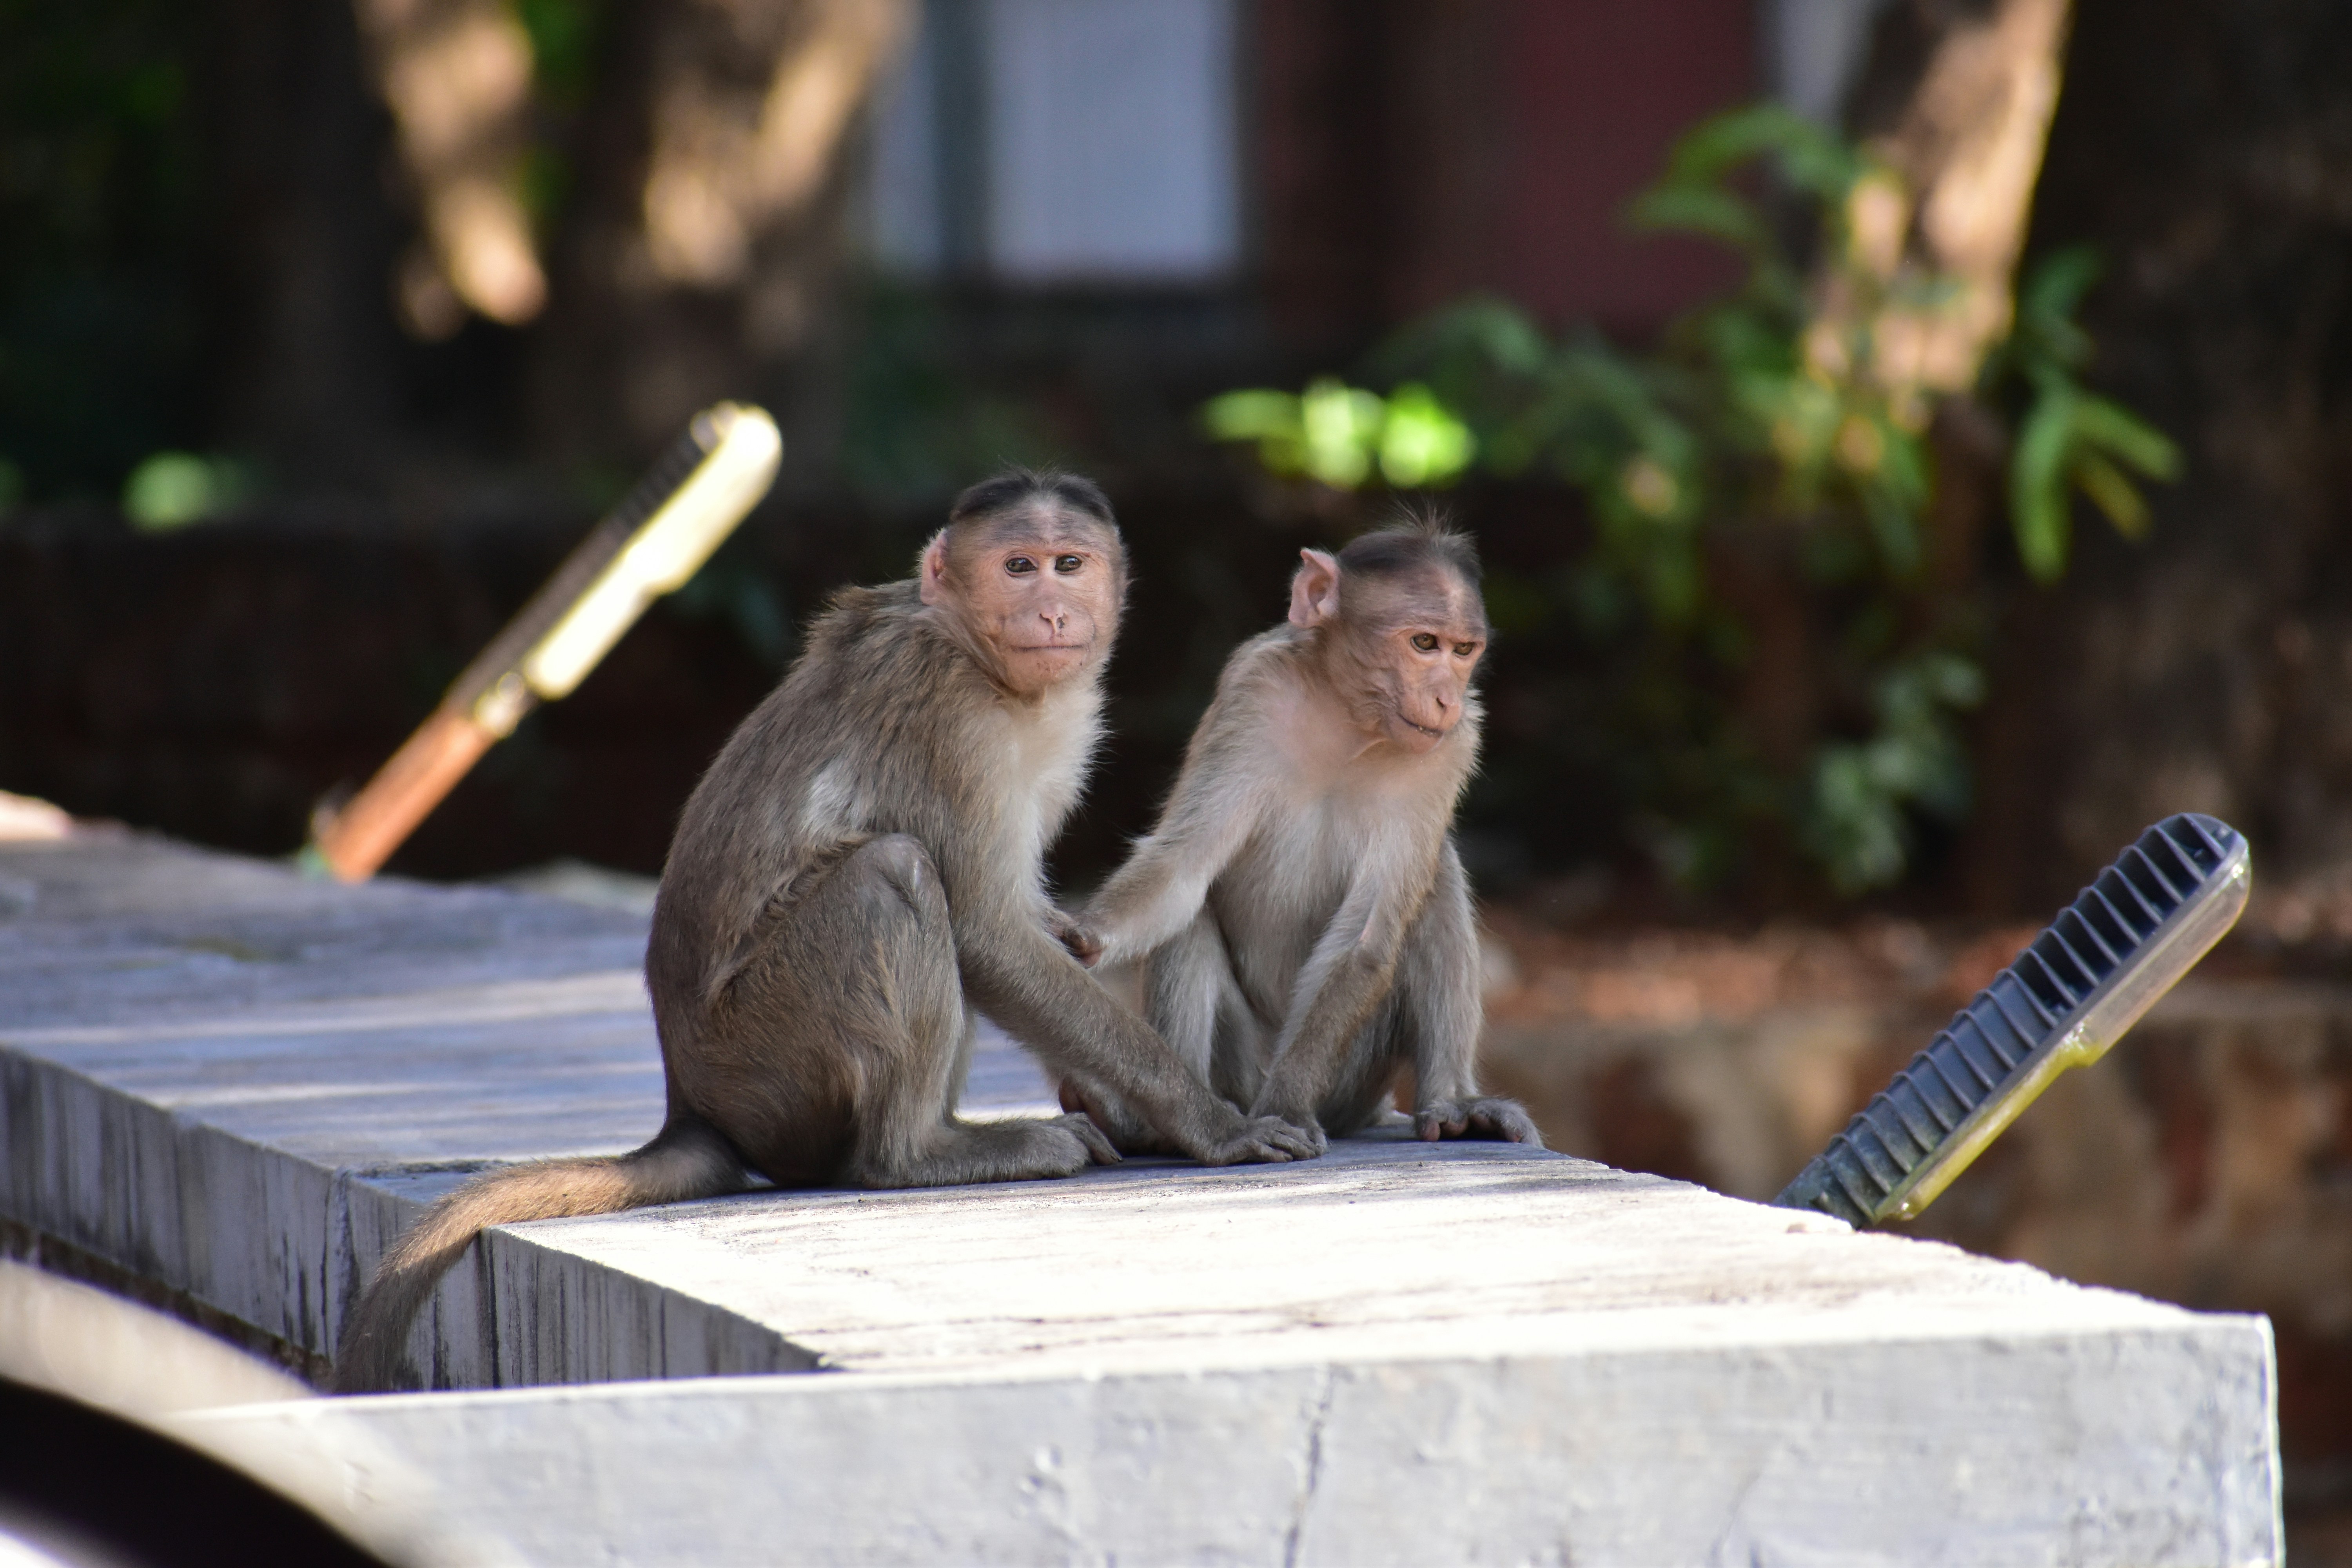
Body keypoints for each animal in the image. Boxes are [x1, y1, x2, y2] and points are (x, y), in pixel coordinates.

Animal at [334, 470, 1320, 1392]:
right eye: (1019, 565)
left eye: (1069, 563)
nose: (1051, 609)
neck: (977, 652)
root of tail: (689, 1101)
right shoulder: (953, 714)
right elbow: (988, 932)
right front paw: (1209, 1121)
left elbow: (1031, 929)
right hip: (769, 1058)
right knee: (895, 876)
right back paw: (917, 1154)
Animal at [1060, 520, 1542, 1156]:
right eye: (1424, 644)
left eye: (1464, 651)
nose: (1446, 698)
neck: (1348, 720)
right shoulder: (1253, 688)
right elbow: (1183, 866)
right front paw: (1084, 939)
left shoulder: (1454, 744)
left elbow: (1365, 940)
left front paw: (1288, 1104)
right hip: (1240, 1070)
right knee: (1190, 913)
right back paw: (1161, 1128)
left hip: (1354, 1079)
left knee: (1435, 877)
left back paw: (1452, 1104)